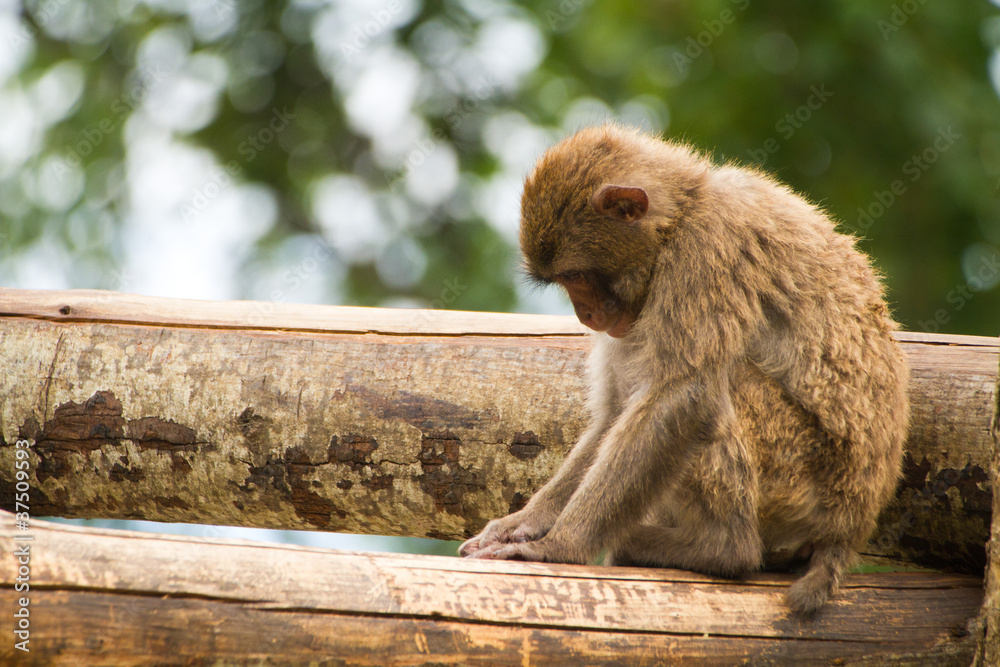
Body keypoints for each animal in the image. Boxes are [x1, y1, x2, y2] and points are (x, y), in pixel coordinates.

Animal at [459, 124, 910, 616]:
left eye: (575, 276)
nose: (586, 315)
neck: (680, 215)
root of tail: (851, 527)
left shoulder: (706, 248)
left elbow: (679, 394)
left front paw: (559, 546)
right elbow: (617, 412)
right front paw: (524, 522)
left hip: (804, 484)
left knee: (720, 387)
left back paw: (722, 549)